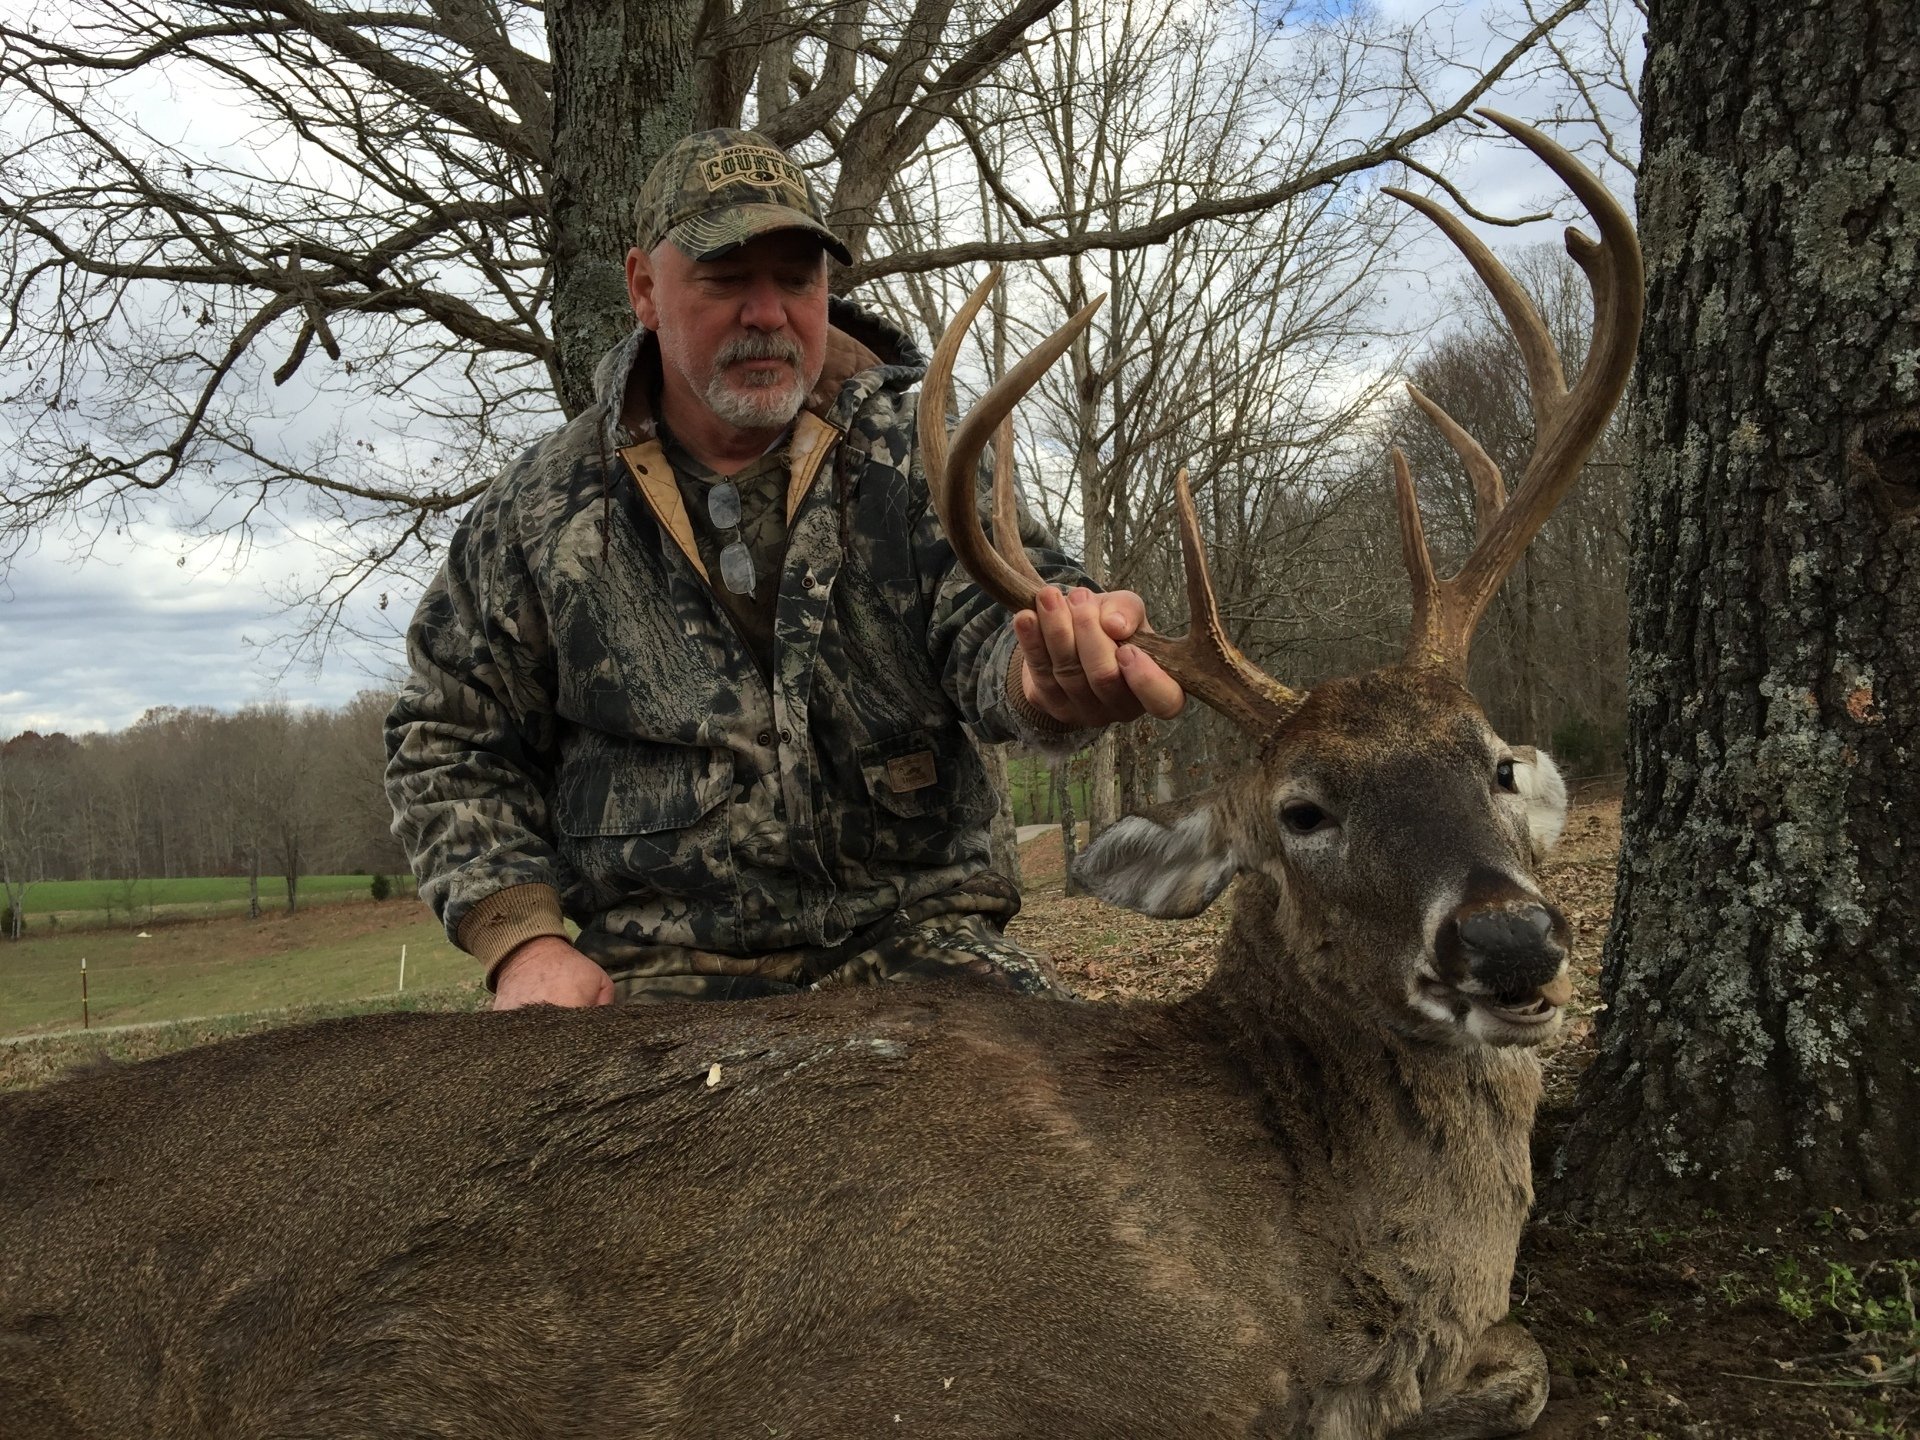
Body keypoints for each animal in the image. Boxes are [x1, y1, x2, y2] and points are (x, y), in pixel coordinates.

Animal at [0, 112, 1639, 1440]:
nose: (1511, 941)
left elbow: (1524, 1356)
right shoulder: (949, 1380)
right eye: (1301, 812)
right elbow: (1517, 1366)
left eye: (1497, 764)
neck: (1289, 1270)